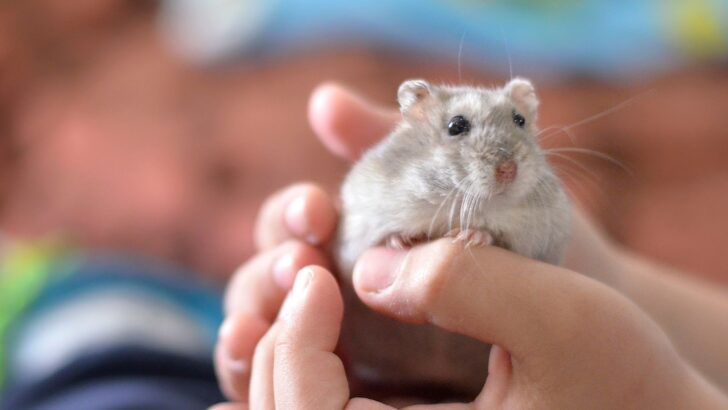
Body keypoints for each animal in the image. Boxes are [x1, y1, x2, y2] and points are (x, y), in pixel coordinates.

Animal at [334, 78, 571, 400]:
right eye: (456, 125)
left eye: (520, 120)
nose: (508, 170)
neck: (457, 201)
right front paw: (401, 241)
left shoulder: (542, 240)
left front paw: (471, 236)